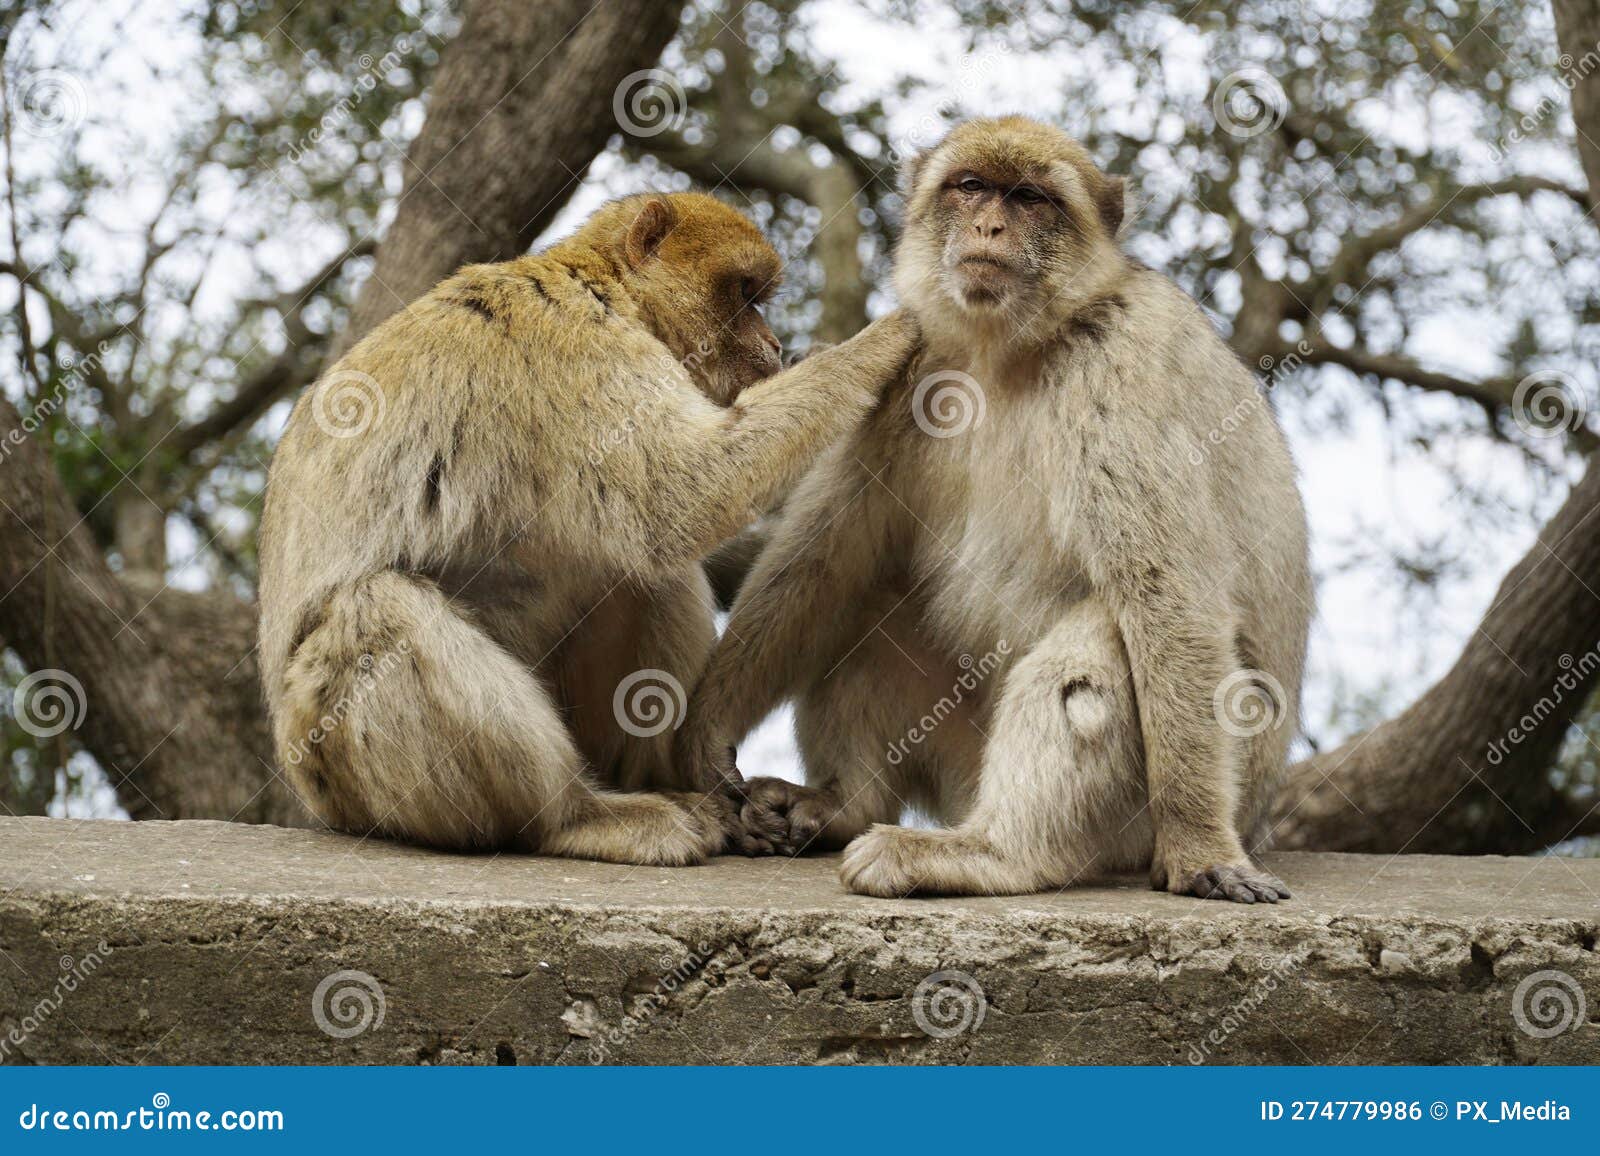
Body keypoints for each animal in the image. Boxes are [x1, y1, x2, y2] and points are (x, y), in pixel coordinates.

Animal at [256, 191, 918, 866]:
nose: (775, 343)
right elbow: (680, 493)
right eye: (746, 295)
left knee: (647, 576)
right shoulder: (577, 345)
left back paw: (672, 786)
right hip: (341, 775)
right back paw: (574, 817)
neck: (608, 289)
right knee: (375, 609)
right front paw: (884, 339)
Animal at [677, 117, 1312, 902]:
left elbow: (1168, 595)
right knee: (869, 599)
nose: (990, 225)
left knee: (1105, 636)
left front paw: (1200, 846)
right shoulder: (910, 363)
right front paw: (707, 726)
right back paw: (841, 804)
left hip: (1125, 828)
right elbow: (825, 555)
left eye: (1031, 198)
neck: (1000, 353)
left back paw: (991, 852)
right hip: (957, 758)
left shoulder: (1121, 367)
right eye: (972, 186)